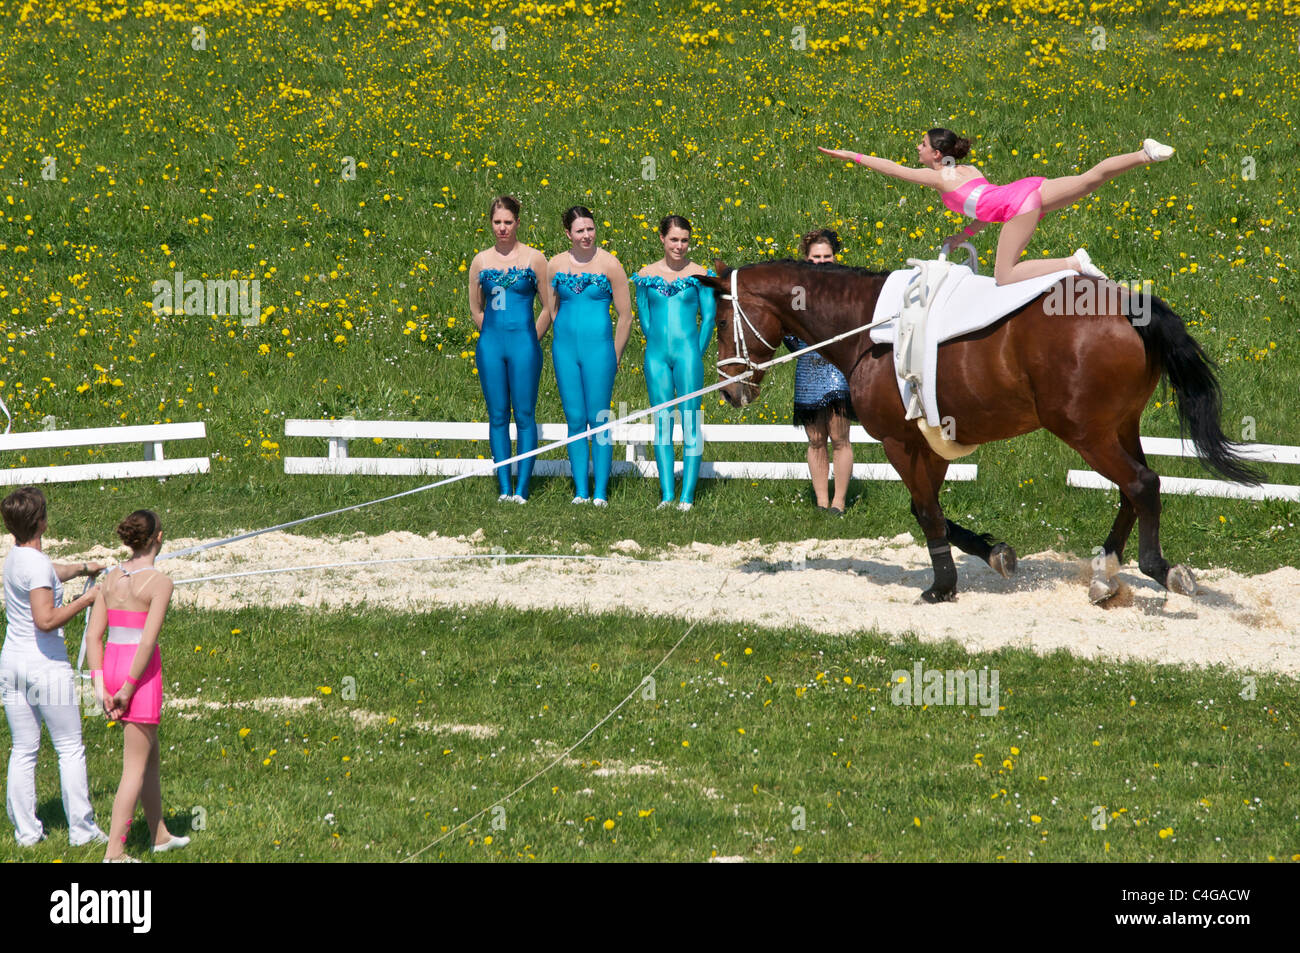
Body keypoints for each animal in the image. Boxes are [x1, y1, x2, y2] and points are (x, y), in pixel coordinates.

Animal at [697, 259, 1262, 603]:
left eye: (721, 321)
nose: (730, 392)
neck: (868, 330)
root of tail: (1127, 303)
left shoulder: (898, 442)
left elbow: (926, 513)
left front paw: (942, 586)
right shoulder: (932, 441)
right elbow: (930, 512)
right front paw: (994, 554)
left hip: (1087, 433)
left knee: (1143, 484)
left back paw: (1157, 568)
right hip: (1120, 426)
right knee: (1133, 488)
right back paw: (1105, 574)